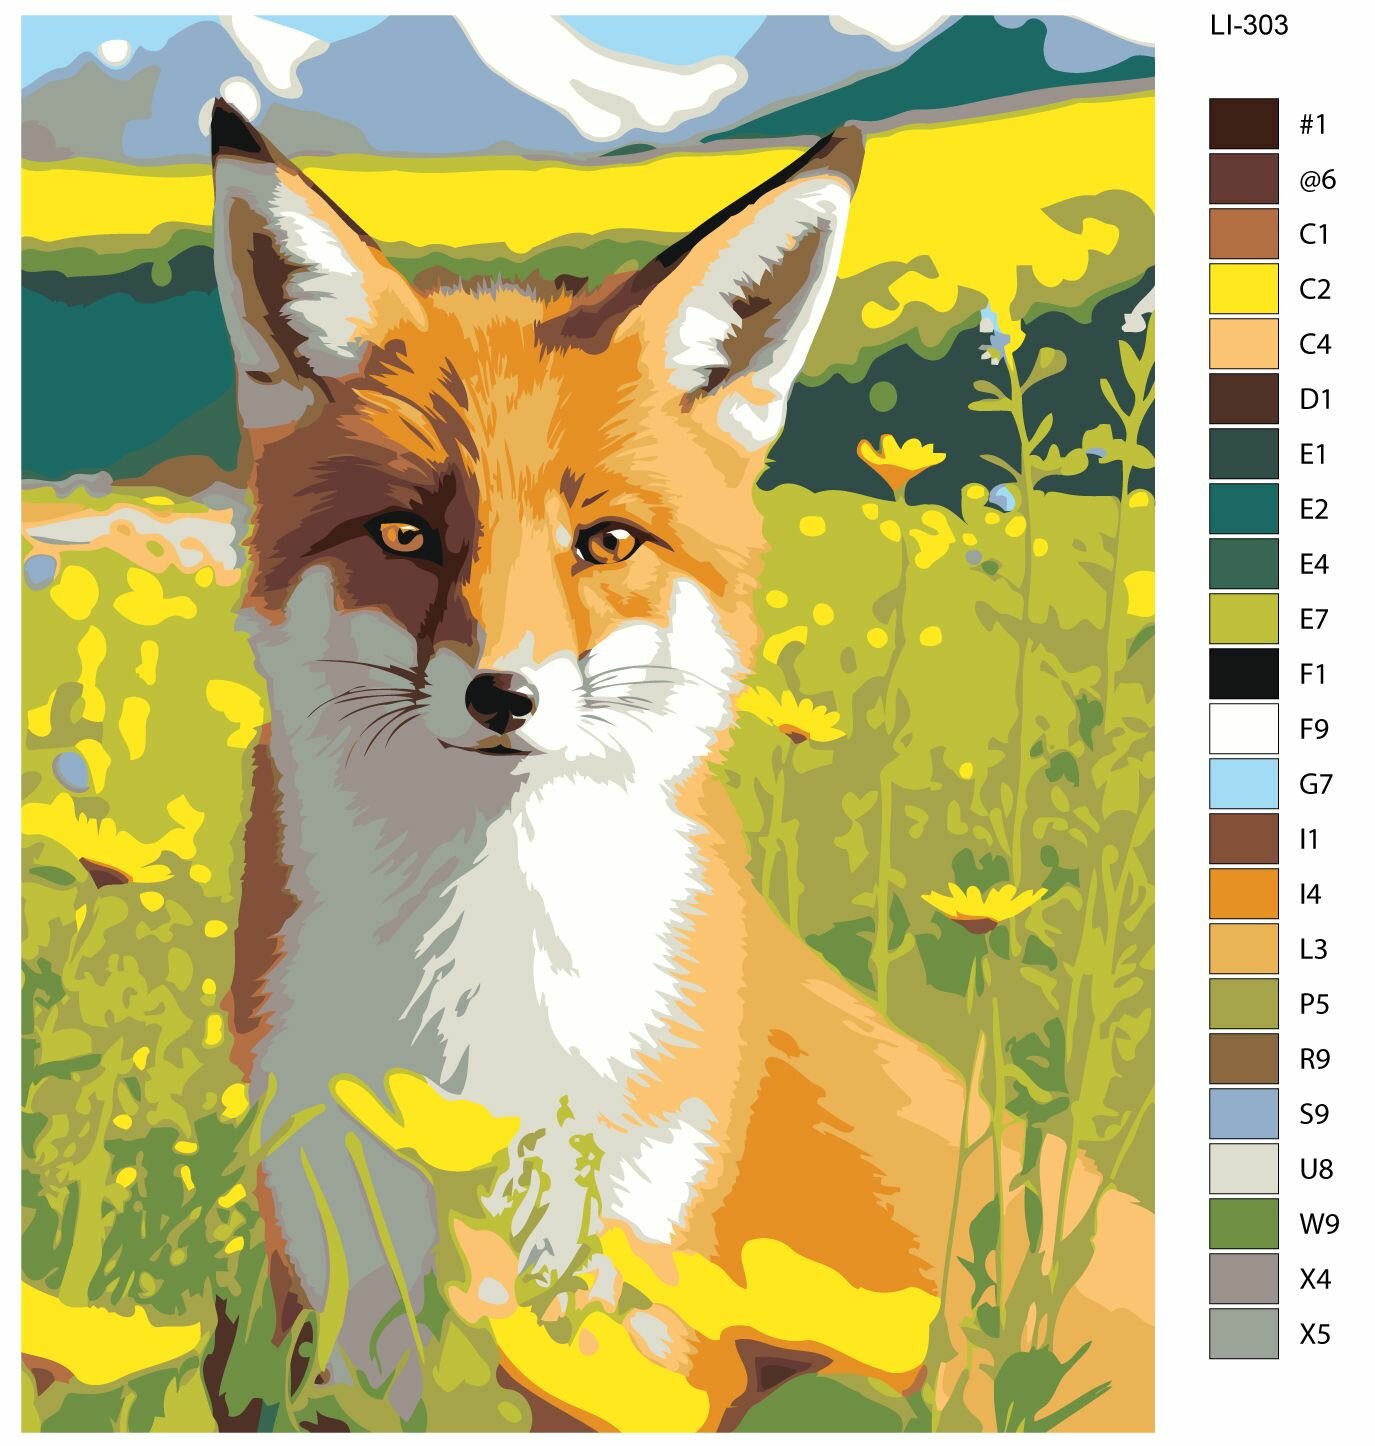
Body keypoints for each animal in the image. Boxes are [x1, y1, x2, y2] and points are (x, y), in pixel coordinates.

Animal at [208, 99, 1152, 1431]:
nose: (504, 695)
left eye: (606, 541)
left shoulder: (648, 1316)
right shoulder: (344, 1284)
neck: (475, 1006)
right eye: (406, 533)